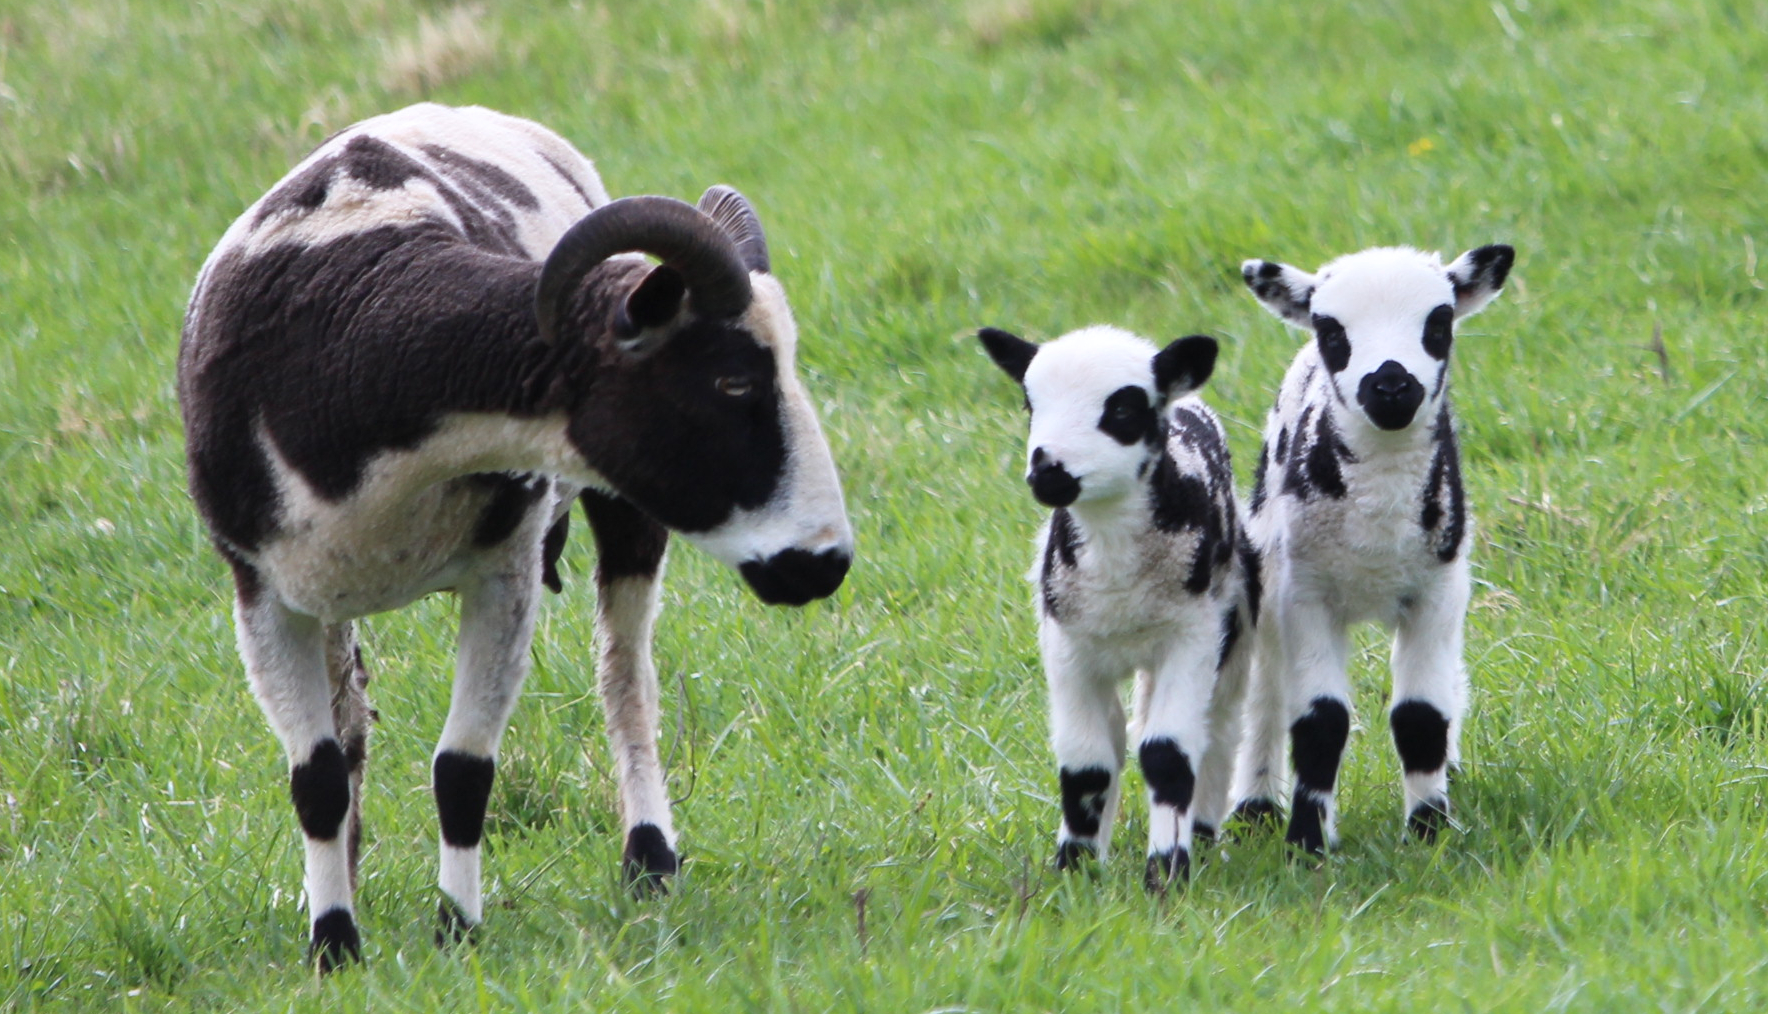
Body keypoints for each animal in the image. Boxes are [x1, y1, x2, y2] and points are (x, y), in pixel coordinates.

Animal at [177, 103, 855, 968]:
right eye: (731, 380)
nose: (824, 562)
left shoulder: (504, 569)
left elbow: (463, 770)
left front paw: (456, 931)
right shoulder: (261, 592)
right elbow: (318, 779)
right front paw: (333, 946)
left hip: (623, 507)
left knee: (626, 679)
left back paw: (649, 859)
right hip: (326, 590)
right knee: (351, 720)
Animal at [978, 325, 1258, 890]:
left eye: (1123, 409)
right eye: (1029, 403)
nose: (1048, 471)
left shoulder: (1192, 638)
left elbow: (1168, 754)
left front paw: (1166, 873)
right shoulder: (1067, 648)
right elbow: (1086, 764)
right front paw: (1075, 869)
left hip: (1231, 633)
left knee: (1217, 730)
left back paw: (1201, 832)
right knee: (1115, 734)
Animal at [1230, 244, 1515, 854]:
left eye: (1439, 322)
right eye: (1330, 330)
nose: (1389, 386)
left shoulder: (1438, 591)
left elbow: (1421, 716)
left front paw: (1430, 829)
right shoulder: (1304, 595)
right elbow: (1319, 721)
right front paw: (1307, 842)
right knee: (1264, 692)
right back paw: (1255, 806)